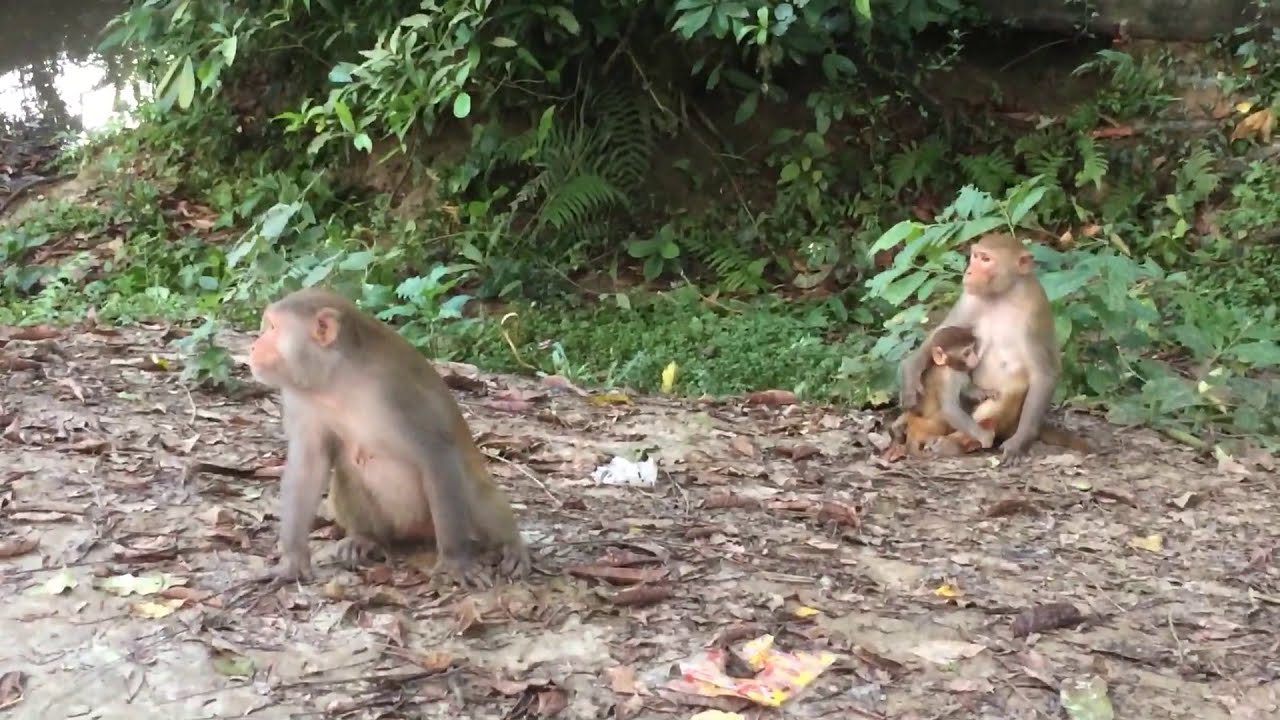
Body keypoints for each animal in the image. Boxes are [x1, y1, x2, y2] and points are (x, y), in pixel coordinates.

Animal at [247, 287, 531, 589]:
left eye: (273, 328)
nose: (253, 347)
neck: (336, 379)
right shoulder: (300, 398)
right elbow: (308, 464)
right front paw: (293, 561)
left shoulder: (396, 390)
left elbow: (437, 452)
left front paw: (455, 562)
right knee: (348, 475)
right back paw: (365, 538)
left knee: (470, 488)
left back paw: (511, 545)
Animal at [897, 232, 1089, 463]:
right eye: (976, 256)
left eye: (986, 260)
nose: (969, 271)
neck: (1004, 293)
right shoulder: (970, 296)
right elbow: (944, 331)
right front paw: (910, 372)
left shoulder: (1034, 310)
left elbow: (1043, 373)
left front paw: (1020, 441)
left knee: (1011, 387)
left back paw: (956, 442)